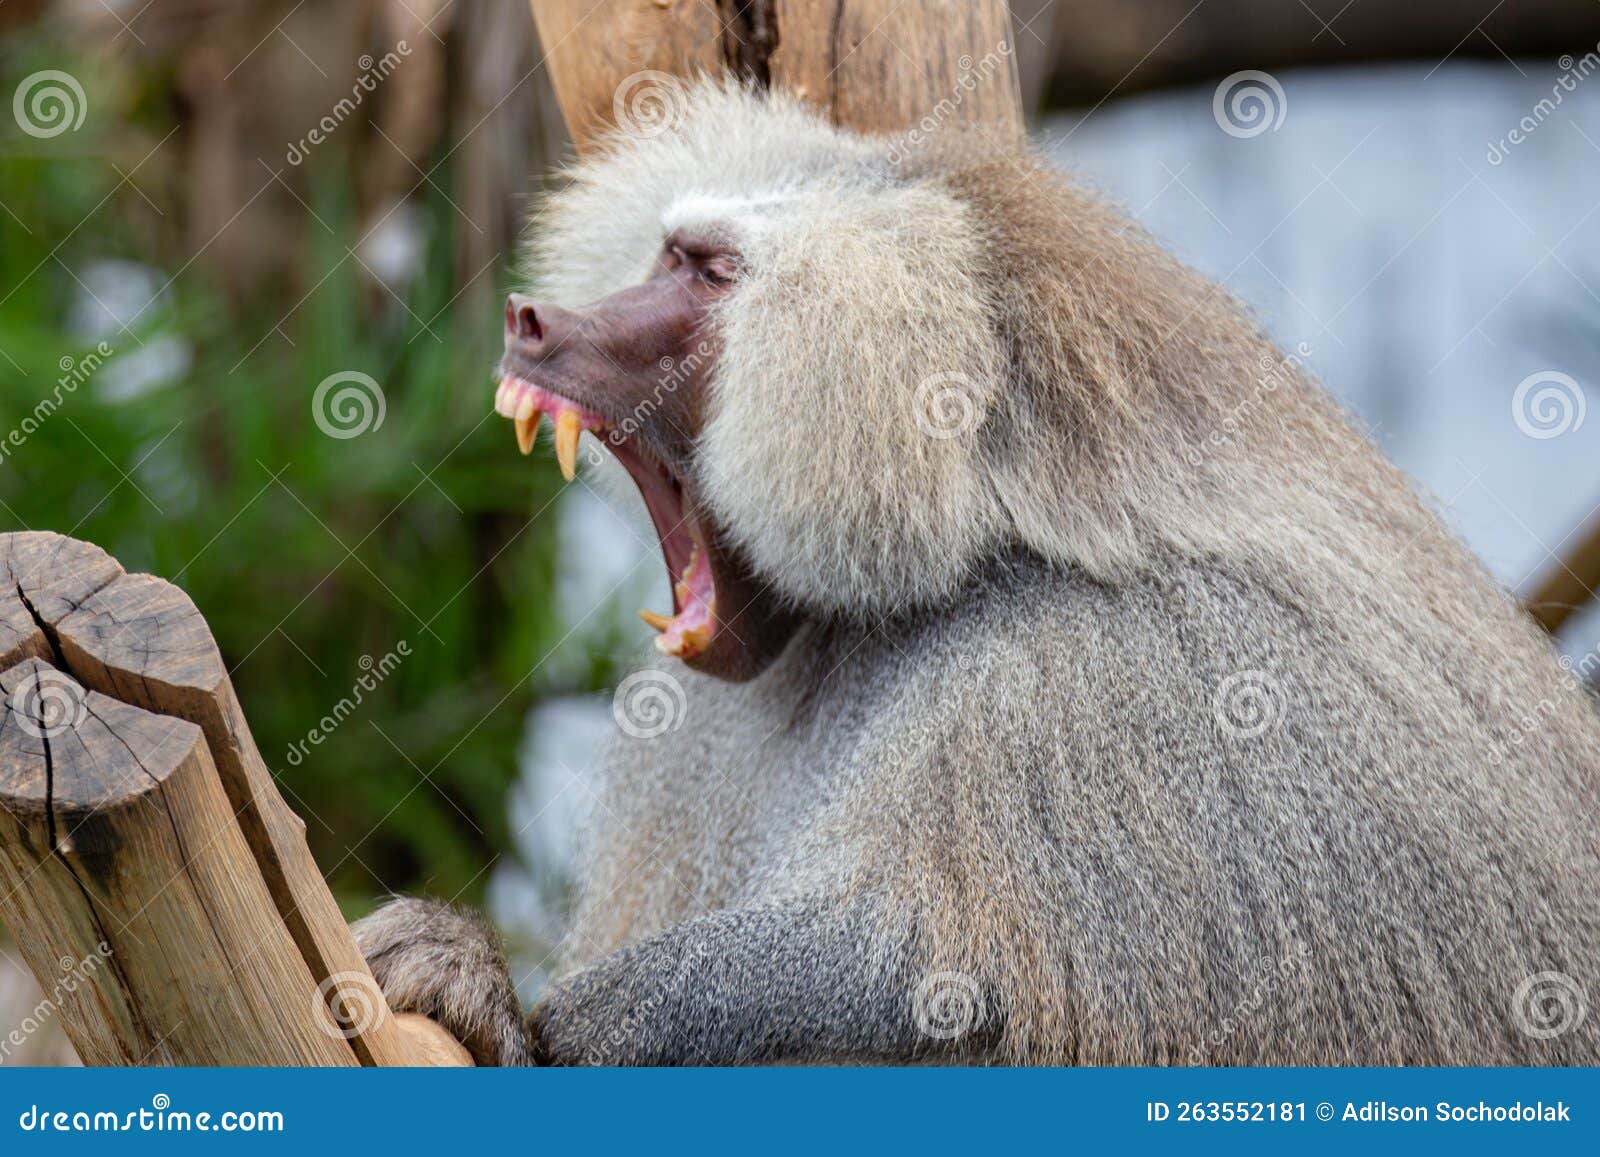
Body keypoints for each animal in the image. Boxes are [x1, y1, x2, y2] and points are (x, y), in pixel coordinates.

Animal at [353, 80, 1600, 1066]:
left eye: (706, 273)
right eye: (668, 253)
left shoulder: (1094, 692)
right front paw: (452, 967)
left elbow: (923, 978)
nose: (533, 319)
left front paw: (530, 1013)